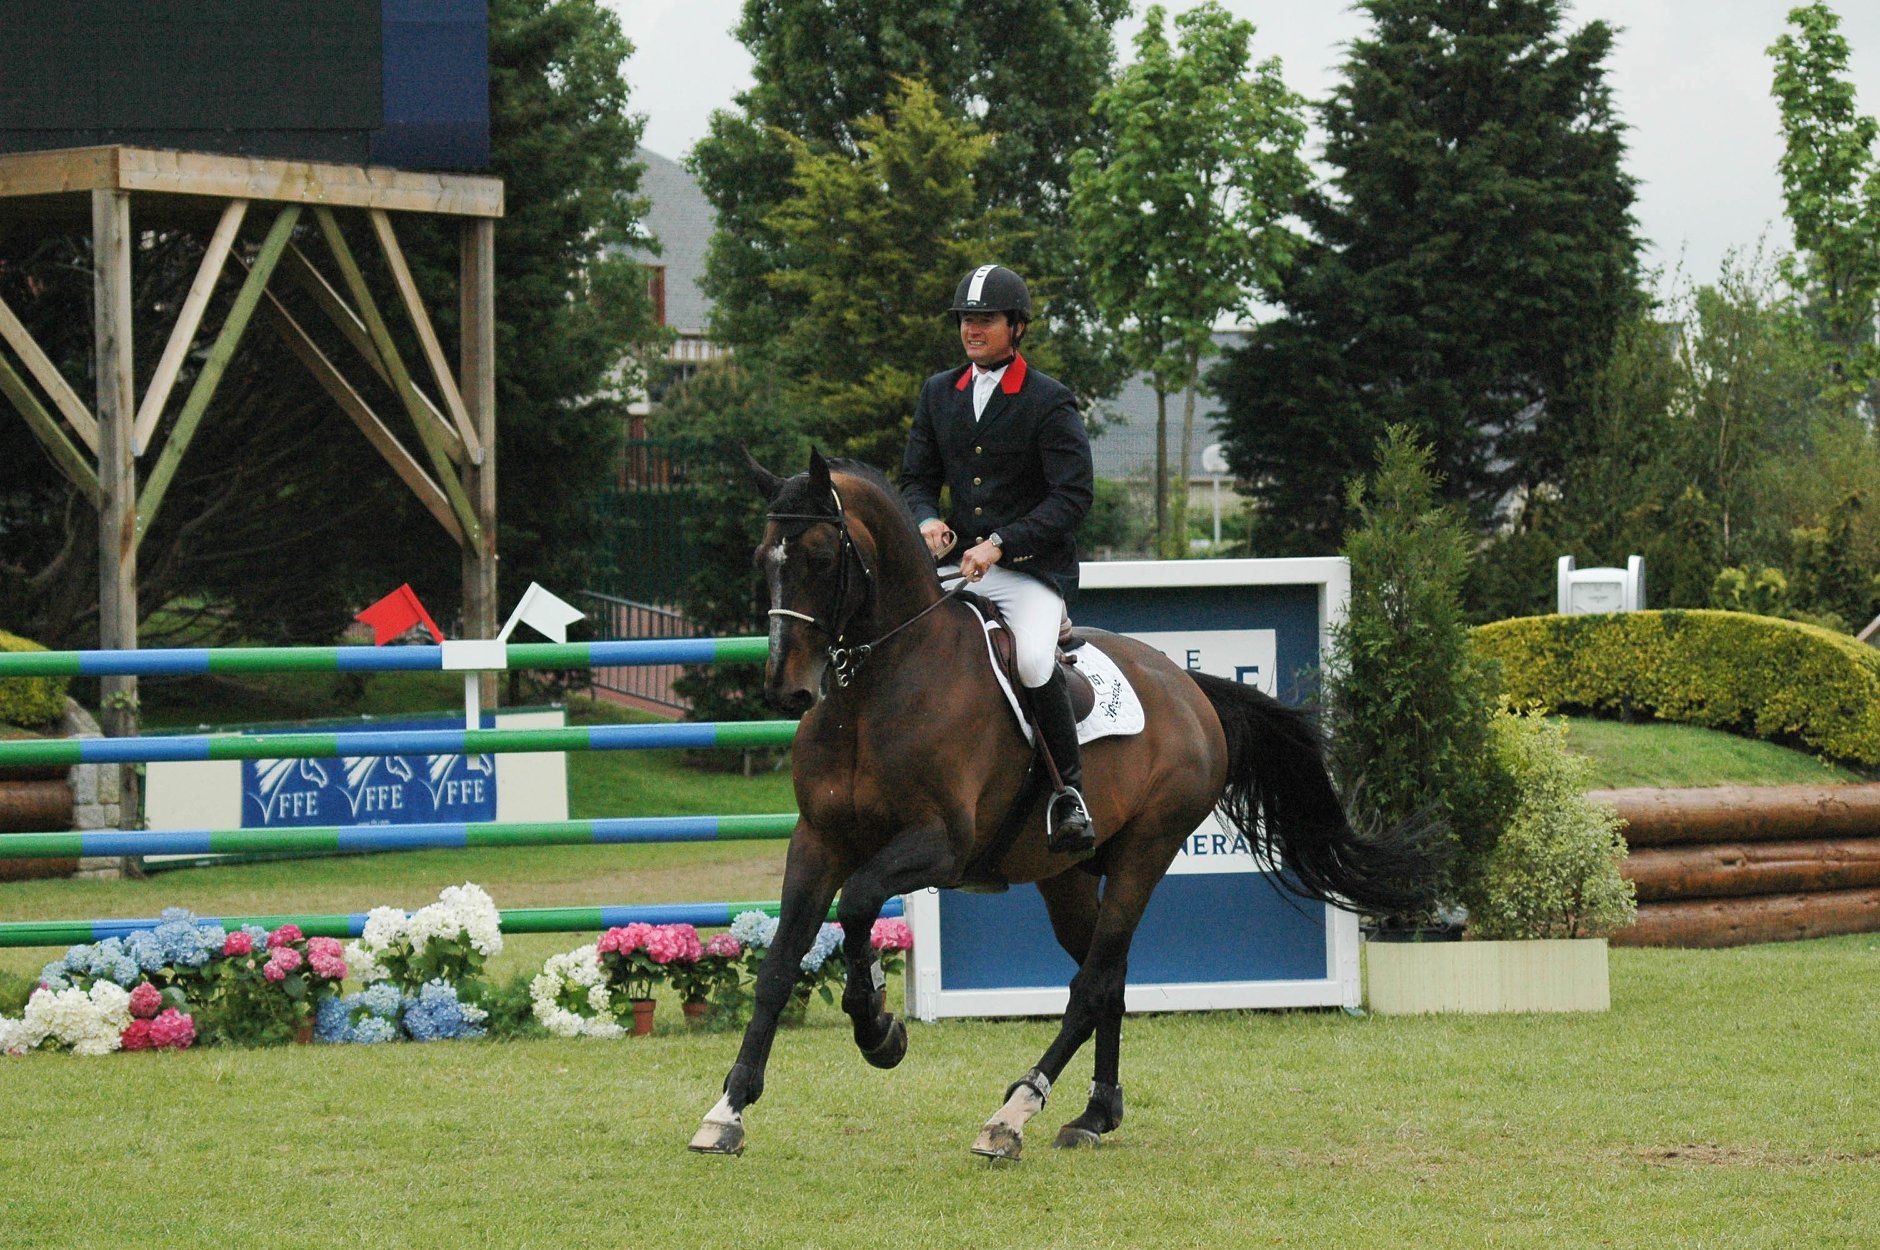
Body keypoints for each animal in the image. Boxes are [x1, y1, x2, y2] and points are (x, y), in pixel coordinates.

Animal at [689, 449, 1429, 1158]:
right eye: (764, 560)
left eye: (819, 557)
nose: (786, 690)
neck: (875, 692)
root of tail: (1188, 686)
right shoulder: (817, 840)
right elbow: (780, 965)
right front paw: (727, 1110)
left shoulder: (939, 845)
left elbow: (861, 903)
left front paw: (878, 1026)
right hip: (1066, 876)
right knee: (1109, 976)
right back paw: (1096, 1114)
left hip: (1146, 850)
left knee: (1092, 983)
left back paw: (1012, 1115)